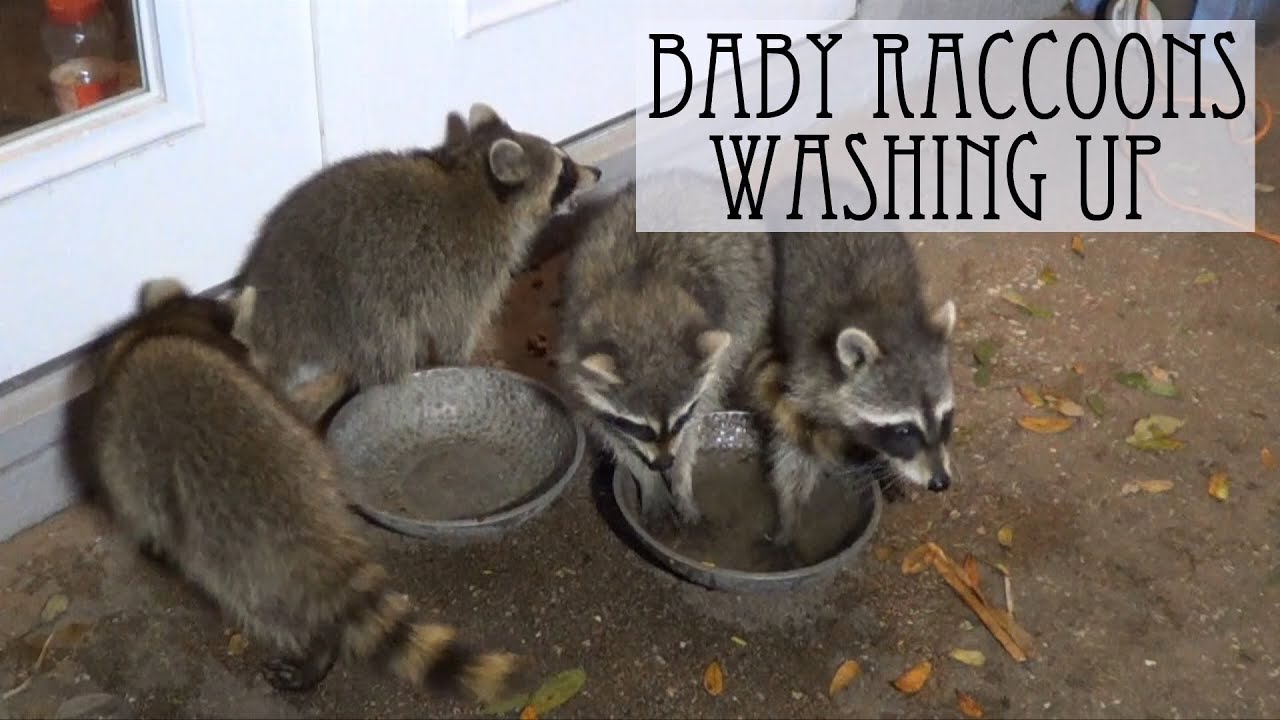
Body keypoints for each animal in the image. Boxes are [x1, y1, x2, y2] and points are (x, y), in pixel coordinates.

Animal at [81, 278, 523, 703]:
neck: (167, 327)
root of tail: (299, 509)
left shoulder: (118, 448)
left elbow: (133, 507)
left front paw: (151, 547)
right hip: (308, 454)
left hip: (233, 552)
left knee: (265, 606)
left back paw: (319, 648)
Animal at [237, 102, 602, 419]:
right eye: (565, 171)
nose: (597, 172)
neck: (475, 177)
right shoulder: (467, 269)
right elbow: (456, 324)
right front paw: (464, 359)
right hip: (361, 308)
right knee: (389, 348)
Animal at [557, 176, 774, 524]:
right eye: (640, 428)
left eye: (679, 419)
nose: (663, 464)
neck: (644, 301)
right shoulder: (573, 361)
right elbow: (604, 428)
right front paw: (648, 480)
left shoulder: (710, 367)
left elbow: (700, 413)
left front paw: (682, 476)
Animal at [748, 231, 957, 546]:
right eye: (904, 430)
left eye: (945, 419)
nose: (940, 482)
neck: (880, 315)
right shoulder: (807, 372)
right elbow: (796, 440)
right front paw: (789, 513)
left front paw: (885, 466)